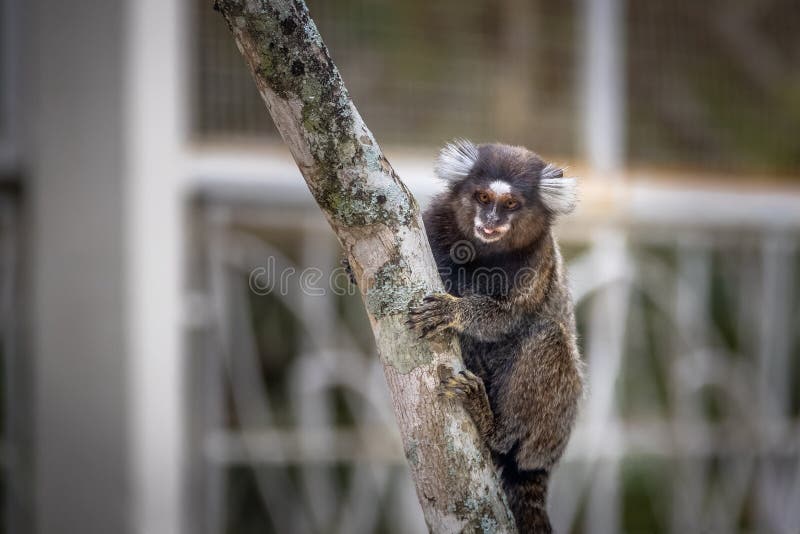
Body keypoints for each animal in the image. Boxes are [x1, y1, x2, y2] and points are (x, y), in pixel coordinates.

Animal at [406, 140, 584, 533]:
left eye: (511, 204)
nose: (491, 220)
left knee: (549, 336)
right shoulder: (435, 222)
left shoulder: (537, 261)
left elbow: (504, 318)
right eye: (484, 197)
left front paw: (455, 311)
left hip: (550, 428)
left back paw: (493, 429)